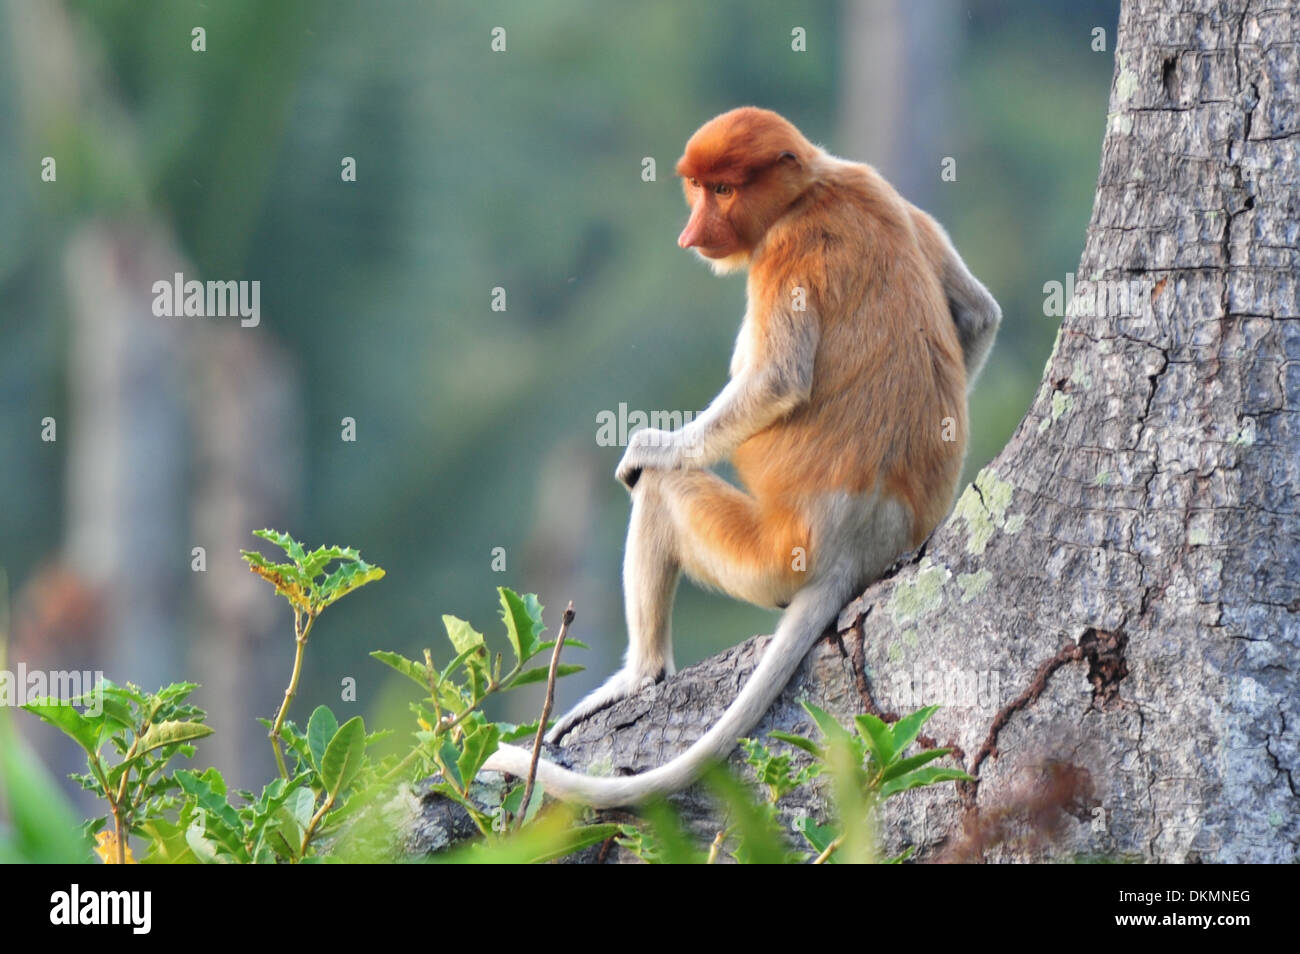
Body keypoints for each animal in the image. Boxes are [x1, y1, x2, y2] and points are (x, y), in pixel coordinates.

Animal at [482, 107, 1000, 808]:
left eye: (724, 190)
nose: (692, 233)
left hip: (768, 555)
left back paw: (640, 675)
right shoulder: (877, 184)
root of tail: (856, 546)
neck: (810, 188)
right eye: (698, 187)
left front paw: (648, 444)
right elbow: (976, 315)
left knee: (662, 492)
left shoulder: (787, 248)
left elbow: (776, 383)